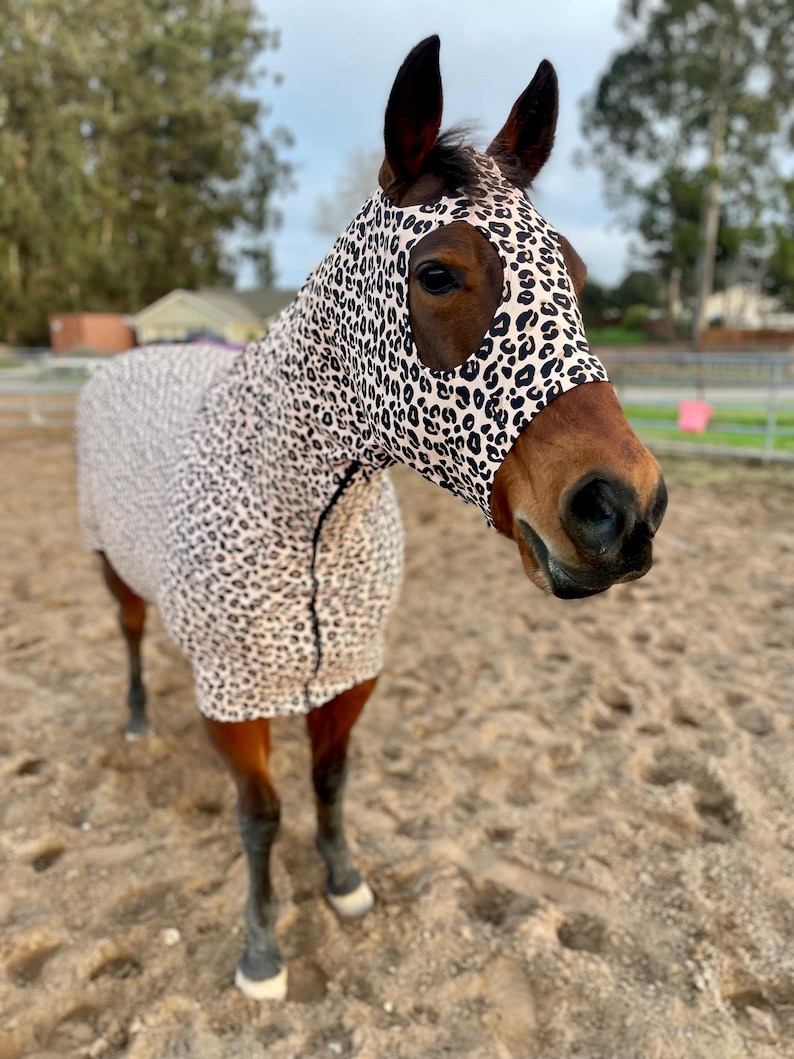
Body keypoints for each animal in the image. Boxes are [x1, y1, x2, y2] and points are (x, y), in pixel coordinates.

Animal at [75, 36, 667, 1001]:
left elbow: (330, 781)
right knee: (128, 630)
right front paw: (261, 950)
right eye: (437, 274)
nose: (625, 507)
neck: (308, 518)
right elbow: (260, 816)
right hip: (107, 564)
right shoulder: (233, 703)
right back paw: (132, 718)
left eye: (576, 277)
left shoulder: (352, 675)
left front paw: (345, 883)